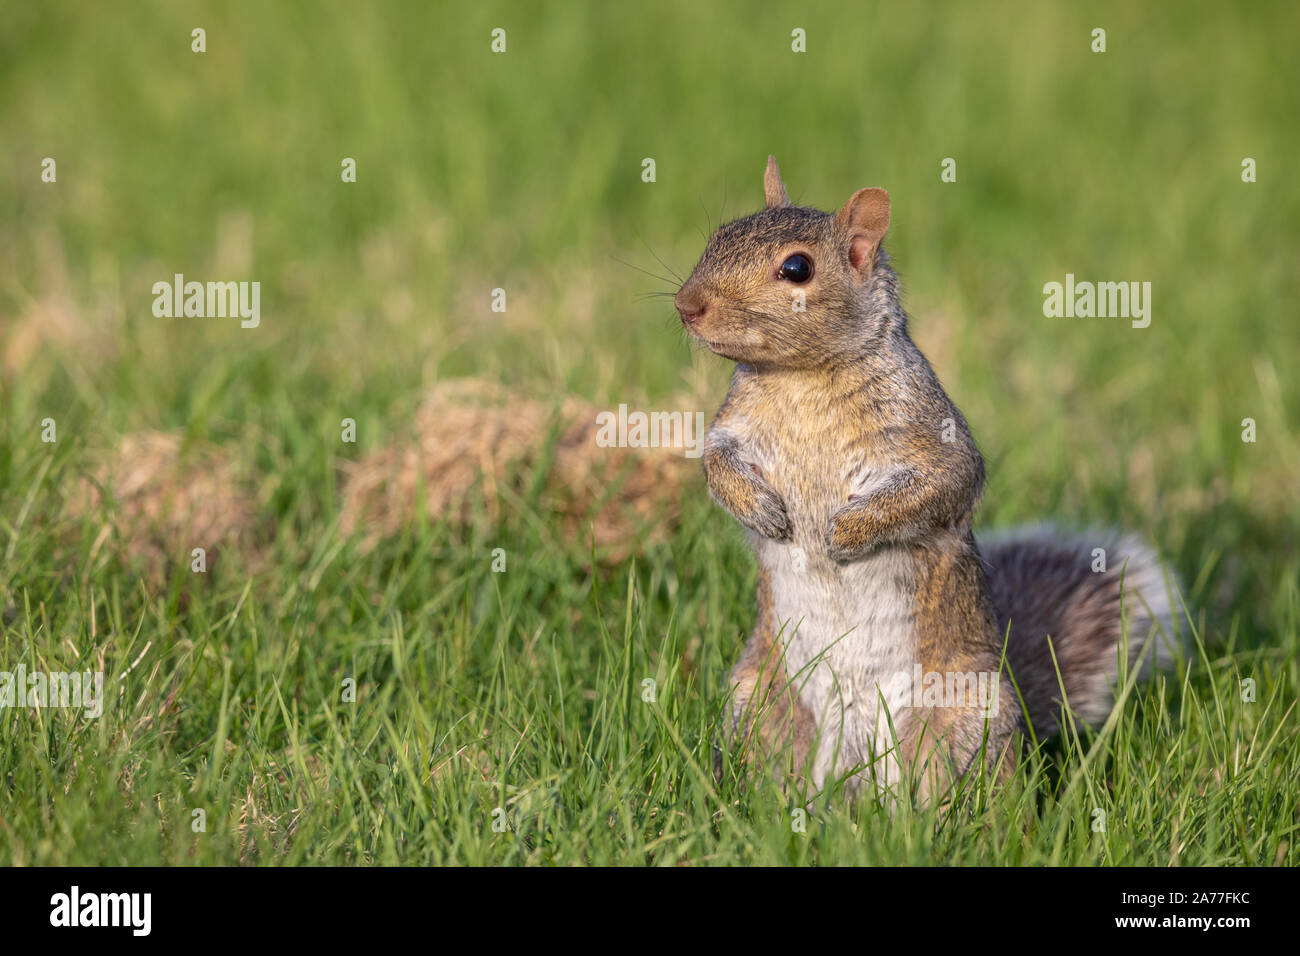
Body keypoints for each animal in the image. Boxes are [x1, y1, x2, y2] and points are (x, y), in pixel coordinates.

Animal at [675, 157, 1181, 803]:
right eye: (719, 234)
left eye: (796, 268)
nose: (687, 305)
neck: (801, 378)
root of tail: (854, 780)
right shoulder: (732, 427)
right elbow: (715, 464)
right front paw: (762, 510)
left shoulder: (931, 434)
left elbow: (942, 484)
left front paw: (845, 533)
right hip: (756, 699)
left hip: (966, 715)